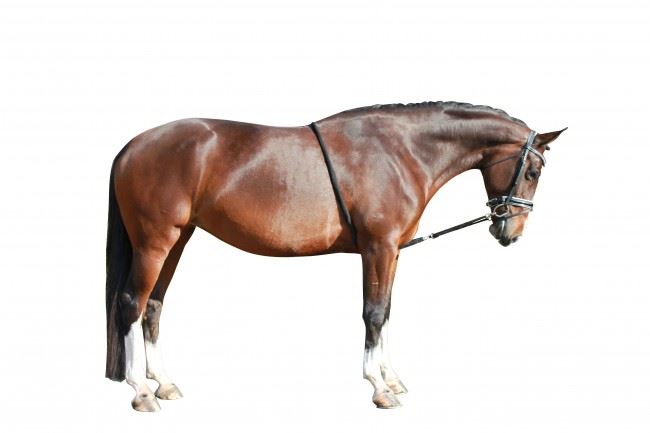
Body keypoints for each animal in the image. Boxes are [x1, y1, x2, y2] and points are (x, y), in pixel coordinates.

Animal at [105, 101, 566, 411]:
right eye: (533, 171)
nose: (510, 232)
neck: (399, 151)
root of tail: (131, 146)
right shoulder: (378, 247)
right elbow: (373, 313)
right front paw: (379, 387)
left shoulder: (392, 252)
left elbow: (387, 312)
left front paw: (392, 378)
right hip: (155, 242)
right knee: (131, 303)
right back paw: (141, 391)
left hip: (177, 240)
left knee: (154, 307)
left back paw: (164, 383)